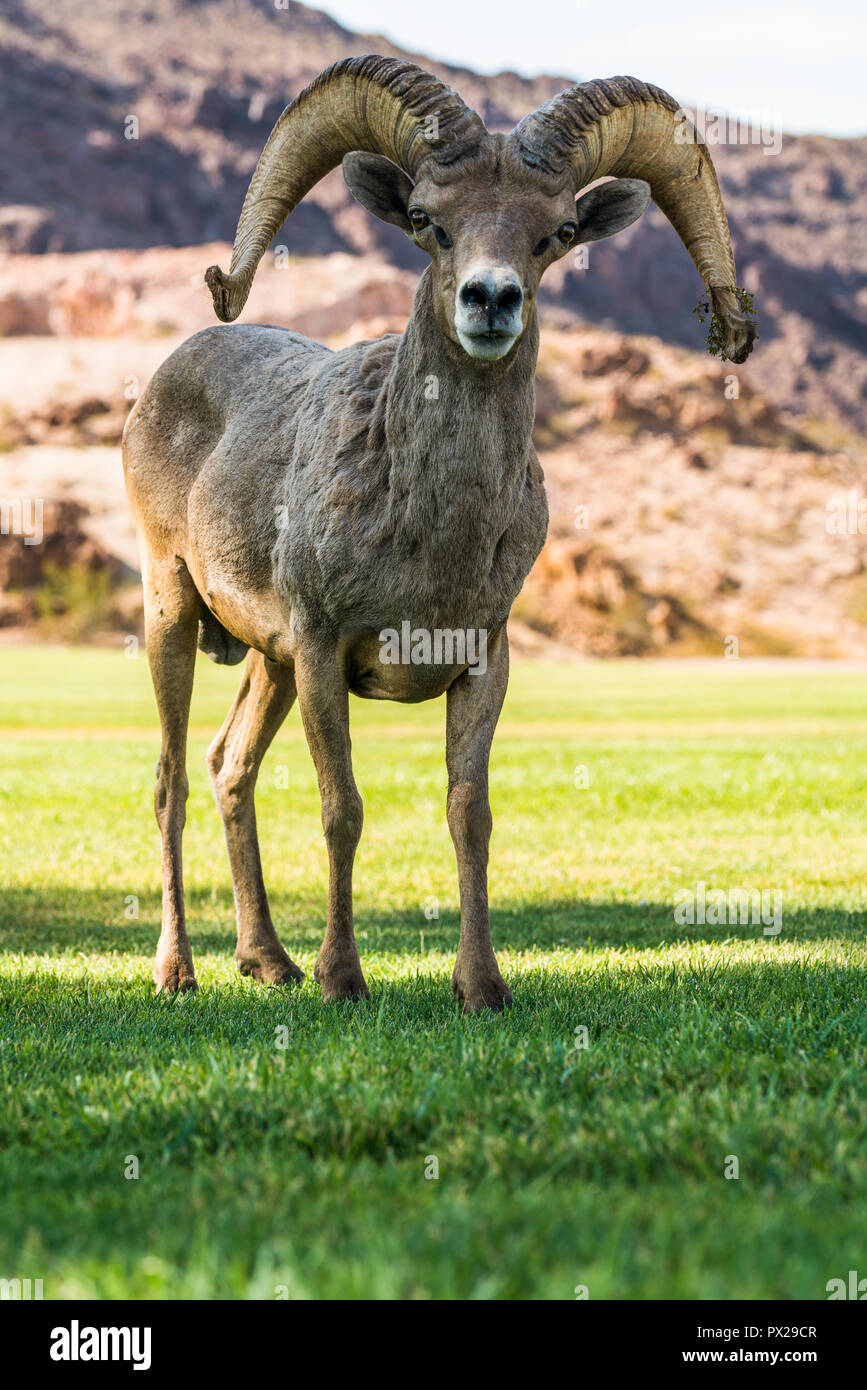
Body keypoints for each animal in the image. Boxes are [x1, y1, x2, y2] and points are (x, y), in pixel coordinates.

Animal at [123, 56, 756, 1012]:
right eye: (428, 222)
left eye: (556, 233)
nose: (489, 300)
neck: (429, 534)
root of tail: (167, 375)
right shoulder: (323, 654)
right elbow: (342, 809)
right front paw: (342, 981)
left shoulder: (479, 662)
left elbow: (469, 815)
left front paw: (481, 988)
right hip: (174, 609)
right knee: (168, 781)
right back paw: (179, 972)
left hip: (267, 663)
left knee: (230, 768)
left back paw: (267, 962)